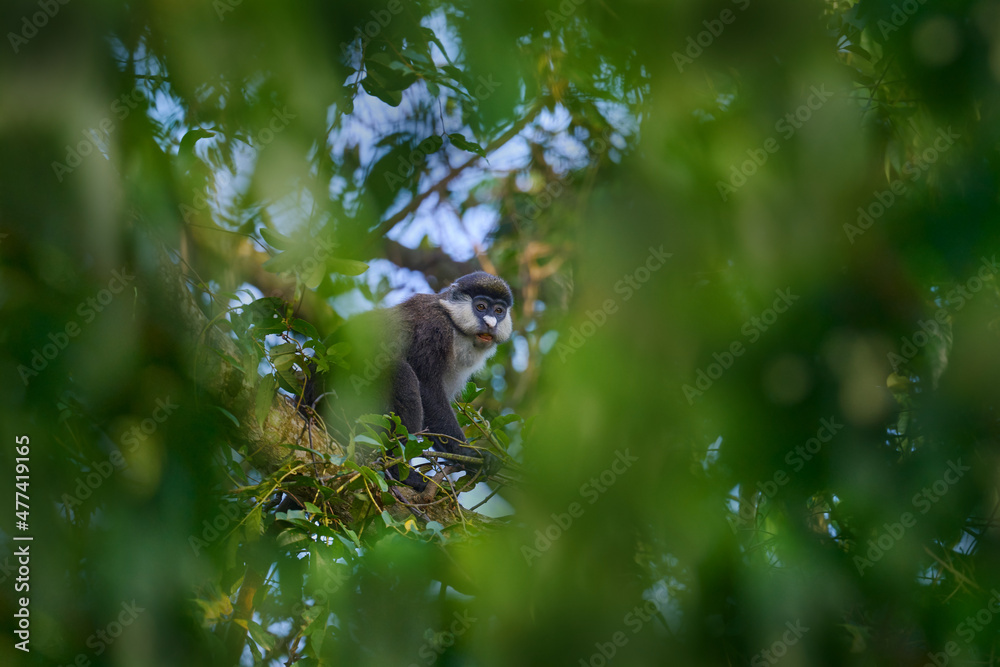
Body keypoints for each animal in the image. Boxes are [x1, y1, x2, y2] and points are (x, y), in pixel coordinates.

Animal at [303, 271, 513, 491]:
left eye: (499, 310)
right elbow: (428, 391)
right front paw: (466, 454)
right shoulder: (434, 330)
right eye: (480, 307)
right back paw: (398, 471)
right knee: (402, 374)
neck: (455, 326)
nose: (491, 323)